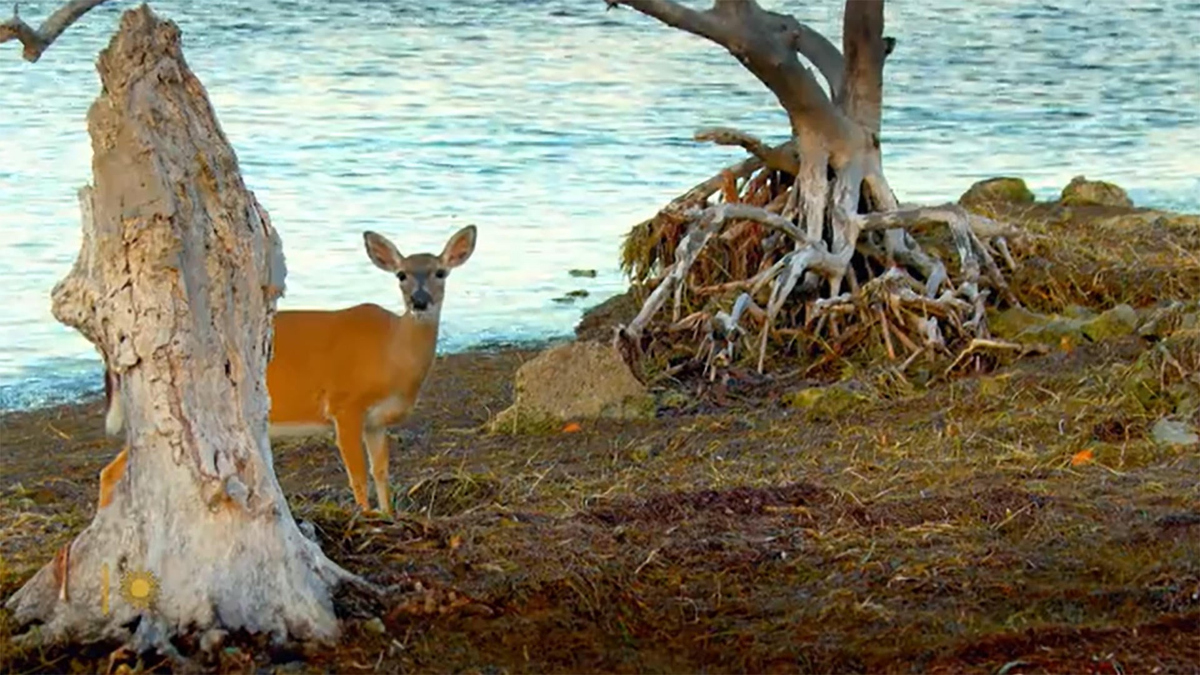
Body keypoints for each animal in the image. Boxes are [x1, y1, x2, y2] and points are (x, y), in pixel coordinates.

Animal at [97, 225, 479, 518]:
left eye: (440, 272)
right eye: (401, 274)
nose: (419, 301)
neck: (392, 354)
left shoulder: (376, 420)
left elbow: (381, 471)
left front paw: (389, 515)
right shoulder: (344, 405)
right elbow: (357, 474)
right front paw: (367, 516)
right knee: (113, 470)